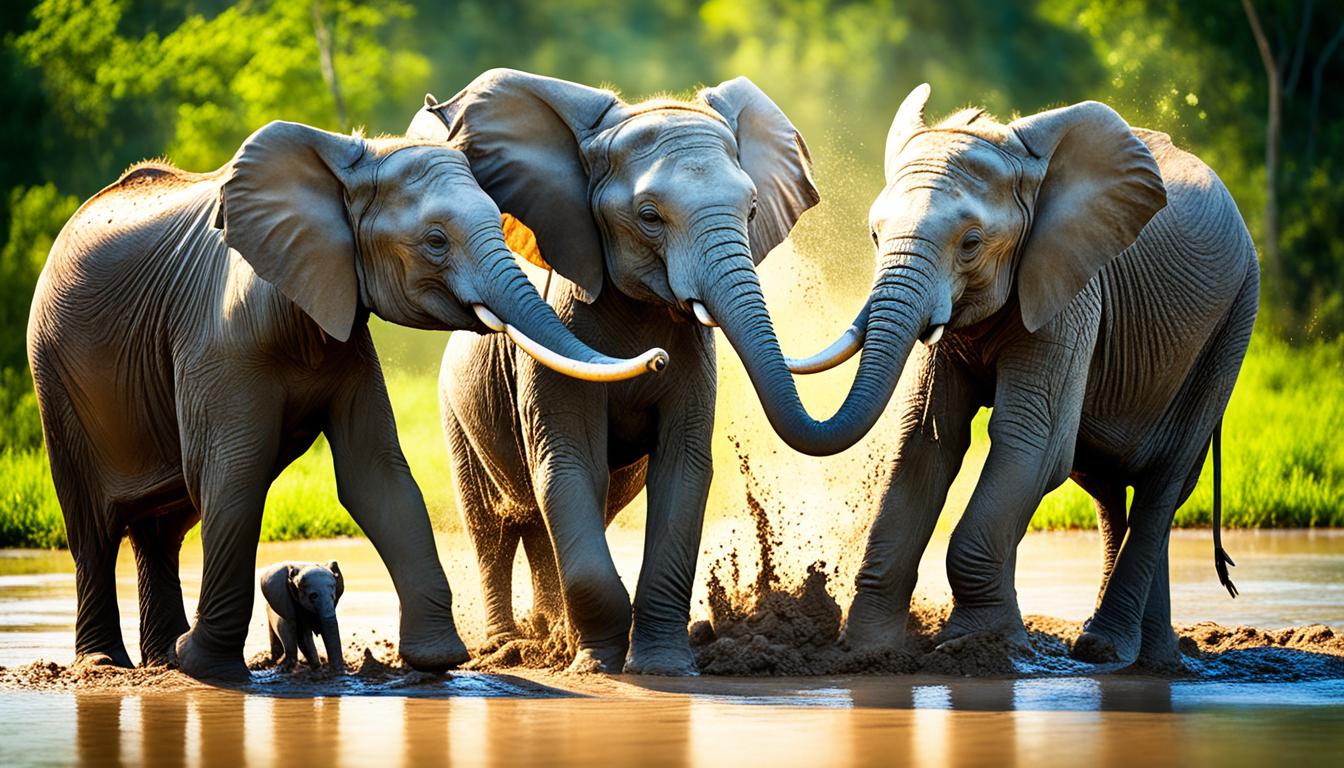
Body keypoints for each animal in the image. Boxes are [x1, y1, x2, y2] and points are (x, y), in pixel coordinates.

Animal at [27, 119, 665, 680]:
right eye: (435, 241)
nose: (659, 357)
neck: (342, 173)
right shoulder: (216, 341)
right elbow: (232, 474)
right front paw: (209, 668)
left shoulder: (345, 331)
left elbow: (374, 473)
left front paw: (437, 661)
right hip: (53, 373)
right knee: (93, 524)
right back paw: (108, 664)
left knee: (162, 525)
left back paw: (161, 659)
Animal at [407, 70, 912, 674]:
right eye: (649, 218)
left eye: (750, 212)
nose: (655, 357)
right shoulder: (558, 329)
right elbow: (569, 461)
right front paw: (597, 668)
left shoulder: (695, 353)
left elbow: (683, 467)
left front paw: (663, 667)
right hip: (454, 409)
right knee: (492, 525)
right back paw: (507, 649)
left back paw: (548, 637)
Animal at [839, 85, 1257, 667]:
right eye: (875, 235)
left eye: (970, 243)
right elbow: (926, 441)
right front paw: (868, 651)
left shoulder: (1074, 293)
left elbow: (1029, 441)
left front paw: (976, 645)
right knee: (1109, 490)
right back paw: (1150, 659)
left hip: (1233, 324)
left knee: (1162, 482)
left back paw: (1105, 649)